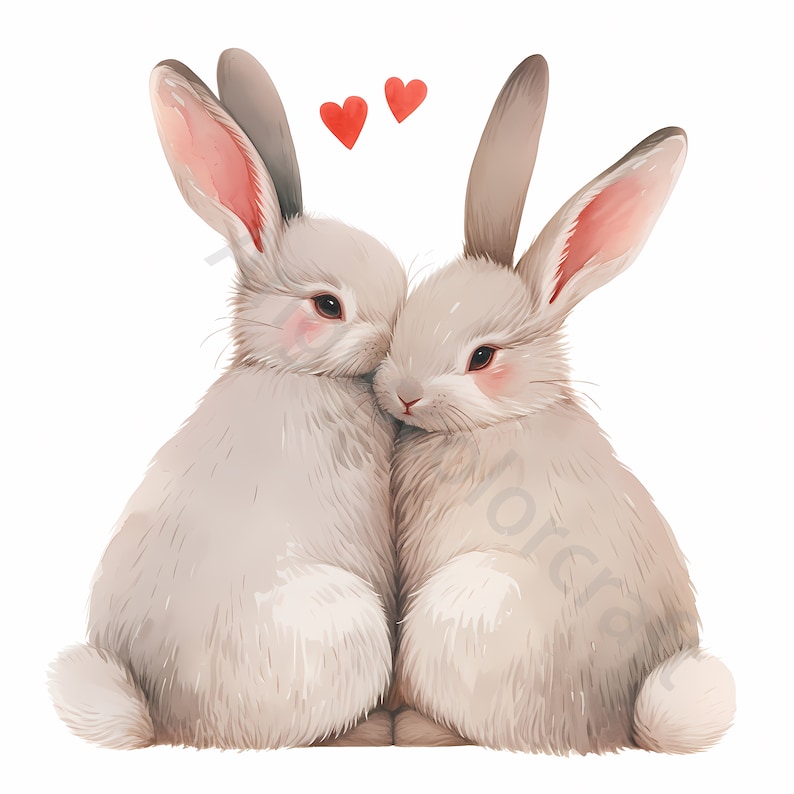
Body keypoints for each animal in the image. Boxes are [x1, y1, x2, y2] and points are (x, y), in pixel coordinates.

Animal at [373, 54, 735, 754]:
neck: (504, 415)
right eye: (407, 313)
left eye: (483, 357)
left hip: (466, 607)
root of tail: (616, 725)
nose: (403, 391)